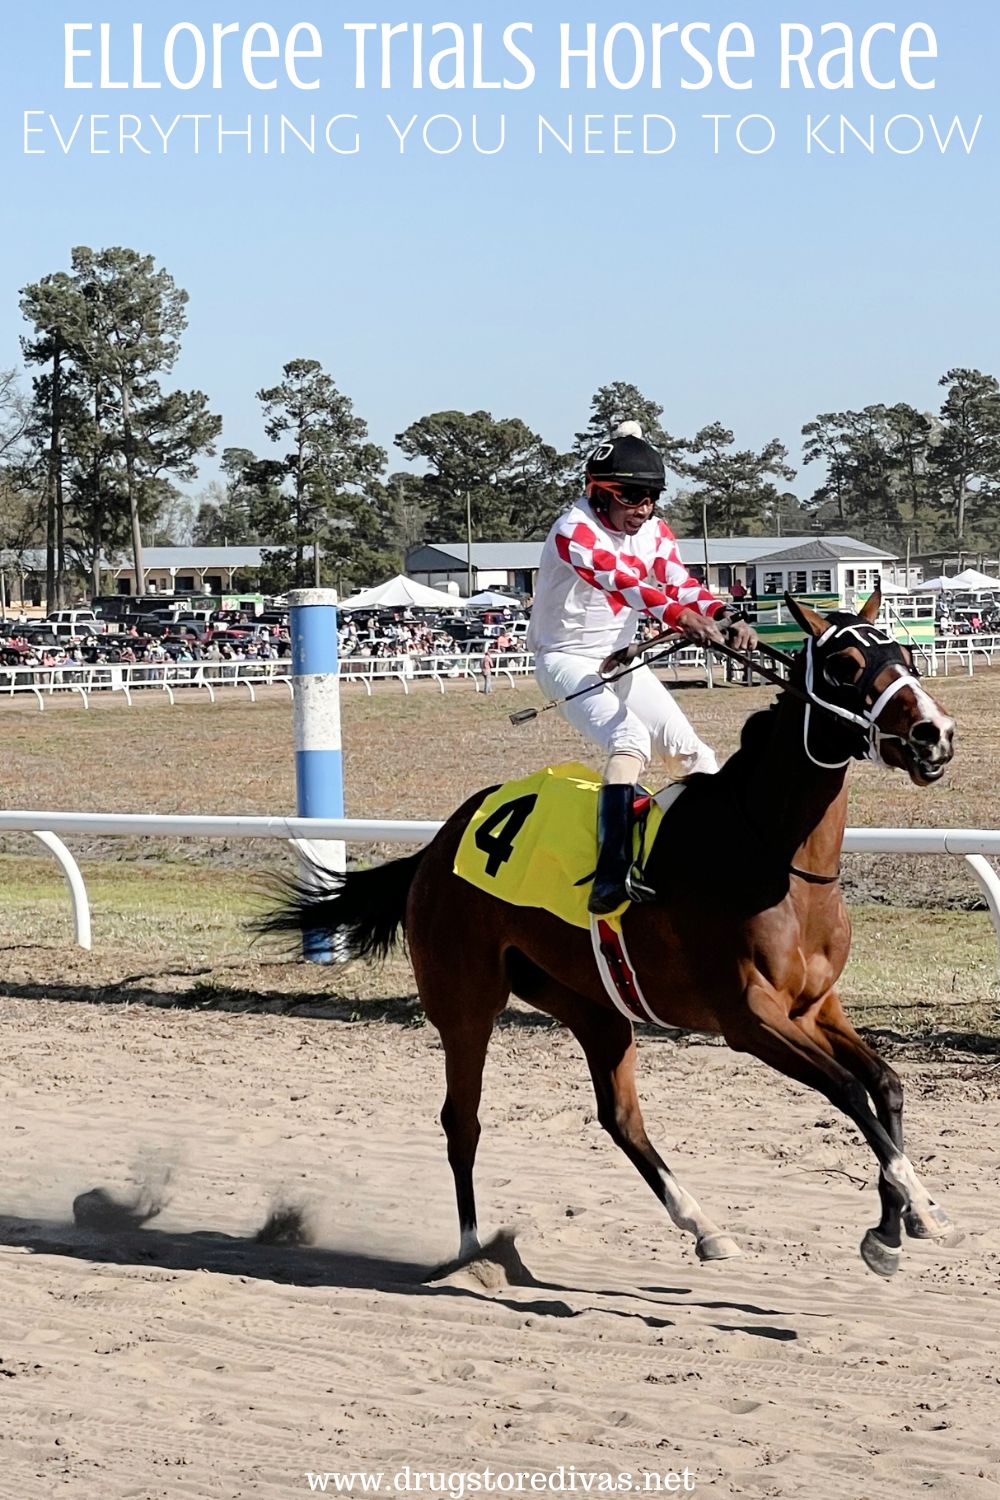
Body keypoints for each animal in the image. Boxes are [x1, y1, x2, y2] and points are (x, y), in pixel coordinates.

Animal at [260, 591, 959, 1279]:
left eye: (905, 654)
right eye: (843, 664)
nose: (935, 735)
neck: (769, 855)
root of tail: (436, 846)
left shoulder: (816, 1006)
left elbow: (885, 1085)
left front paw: (896, 1225)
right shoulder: (750, 1018)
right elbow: (849, 1092)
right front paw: (917, 1205)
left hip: (591, 1004)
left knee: (620, 1116)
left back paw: (704, 1226)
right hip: (465, 1003)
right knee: (462, 1120)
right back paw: (472, 1252)